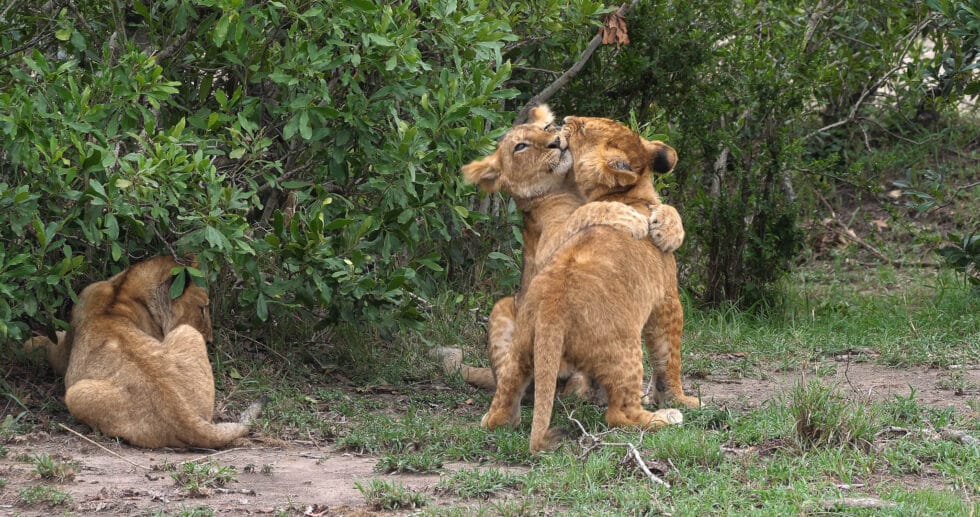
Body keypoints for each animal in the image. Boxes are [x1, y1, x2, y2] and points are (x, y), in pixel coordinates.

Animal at [24, 255, 252, 449]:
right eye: (202, 308)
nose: (211, 341)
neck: (121, 291)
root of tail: (187, 419)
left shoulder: (65, 351)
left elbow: (49, 343)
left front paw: (28, 343)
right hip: (188, 332)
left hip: (74, 394)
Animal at [460, 106, 696, 452]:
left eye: (583, 128)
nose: (565, 124)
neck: (629, 196)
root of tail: (550, 315)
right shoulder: (667, 302)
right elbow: (669, 357)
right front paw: (681, 399)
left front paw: (666, 225)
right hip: (624, 350)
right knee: (620, 414)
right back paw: (665, 417)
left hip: (520, 352)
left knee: (498, 412)